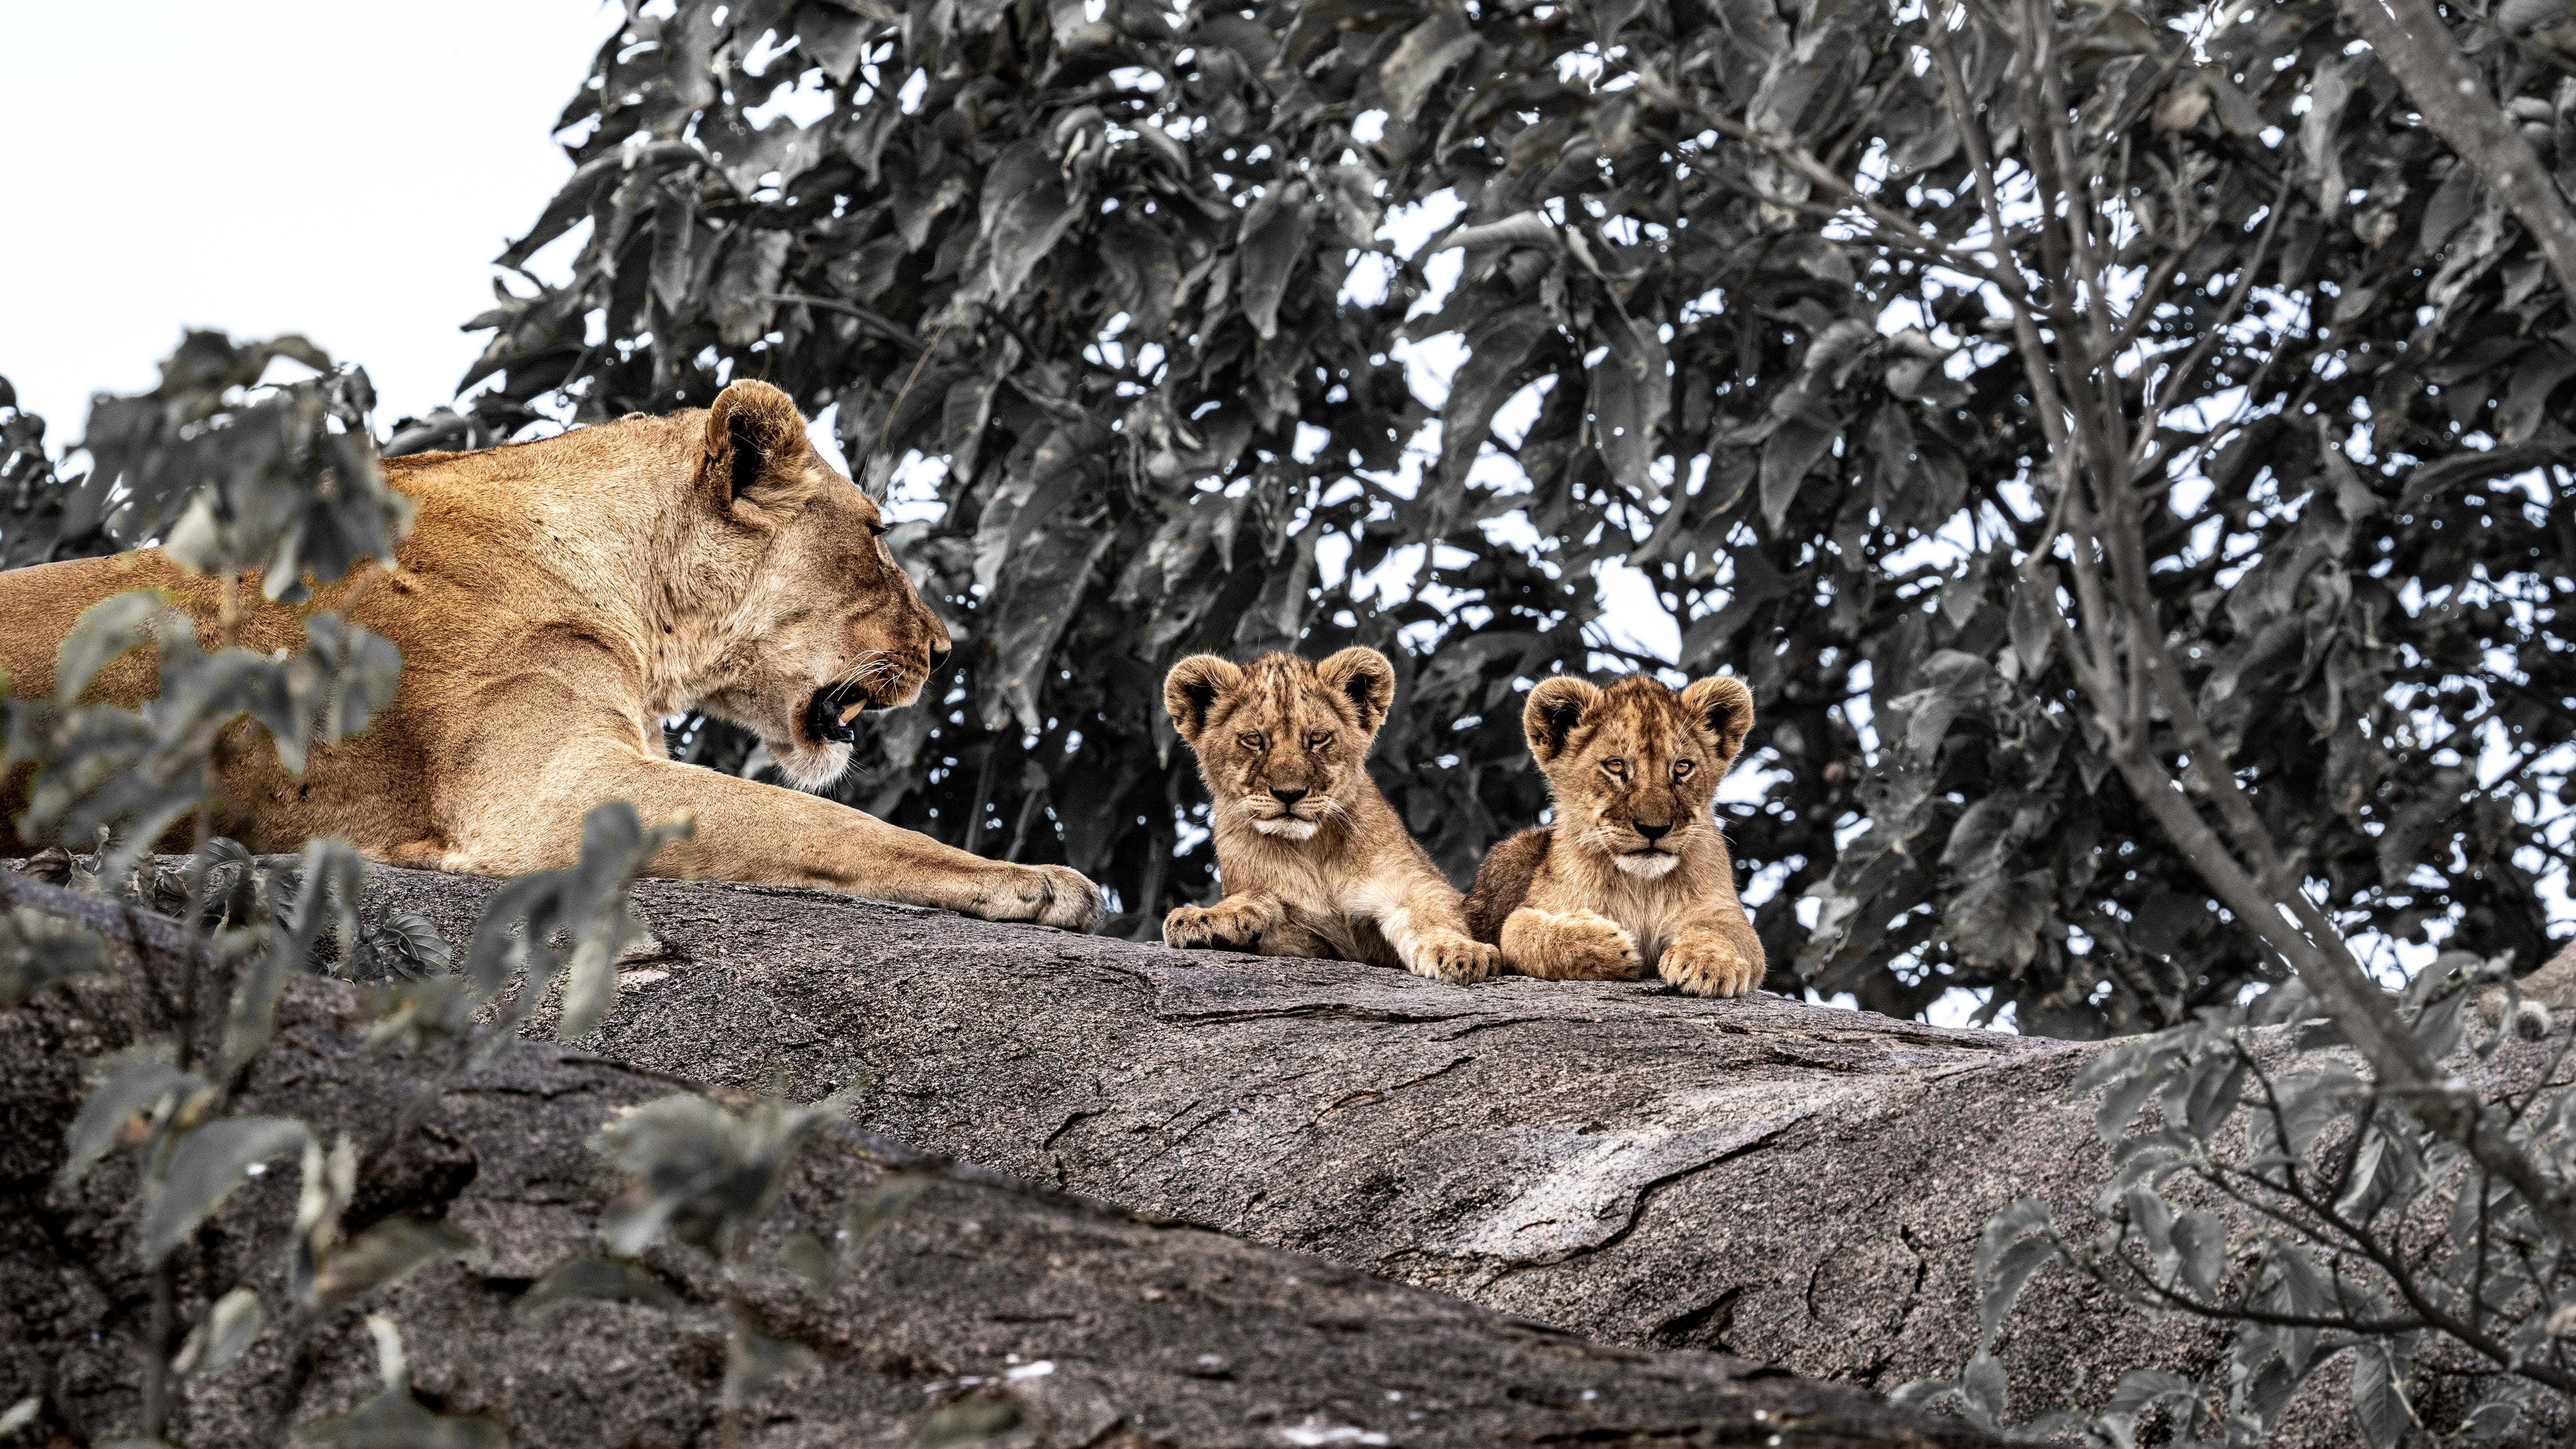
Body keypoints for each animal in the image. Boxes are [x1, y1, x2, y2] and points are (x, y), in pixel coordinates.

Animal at [1159, 648, 1499, 984]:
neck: (1313, 850)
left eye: (1318, 738)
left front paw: (1460, 951)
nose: (1289, 793)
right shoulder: (1319, 941)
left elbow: (1431, 914)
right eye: (1254, 740)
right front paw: (1207, 919)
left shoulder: (1408, 882)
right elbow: (1258, 902)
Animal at [1462, 673, 1764, 996]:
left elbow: (1722, 932)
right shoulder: (1532, 910)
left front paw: (1708, 963)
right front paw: (1608, 947)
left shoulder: (1723, 912)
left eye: (1683, 767)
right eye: (1616, 765)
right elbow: (1521, 931)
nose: (1654, 828)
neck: (1643, 887)